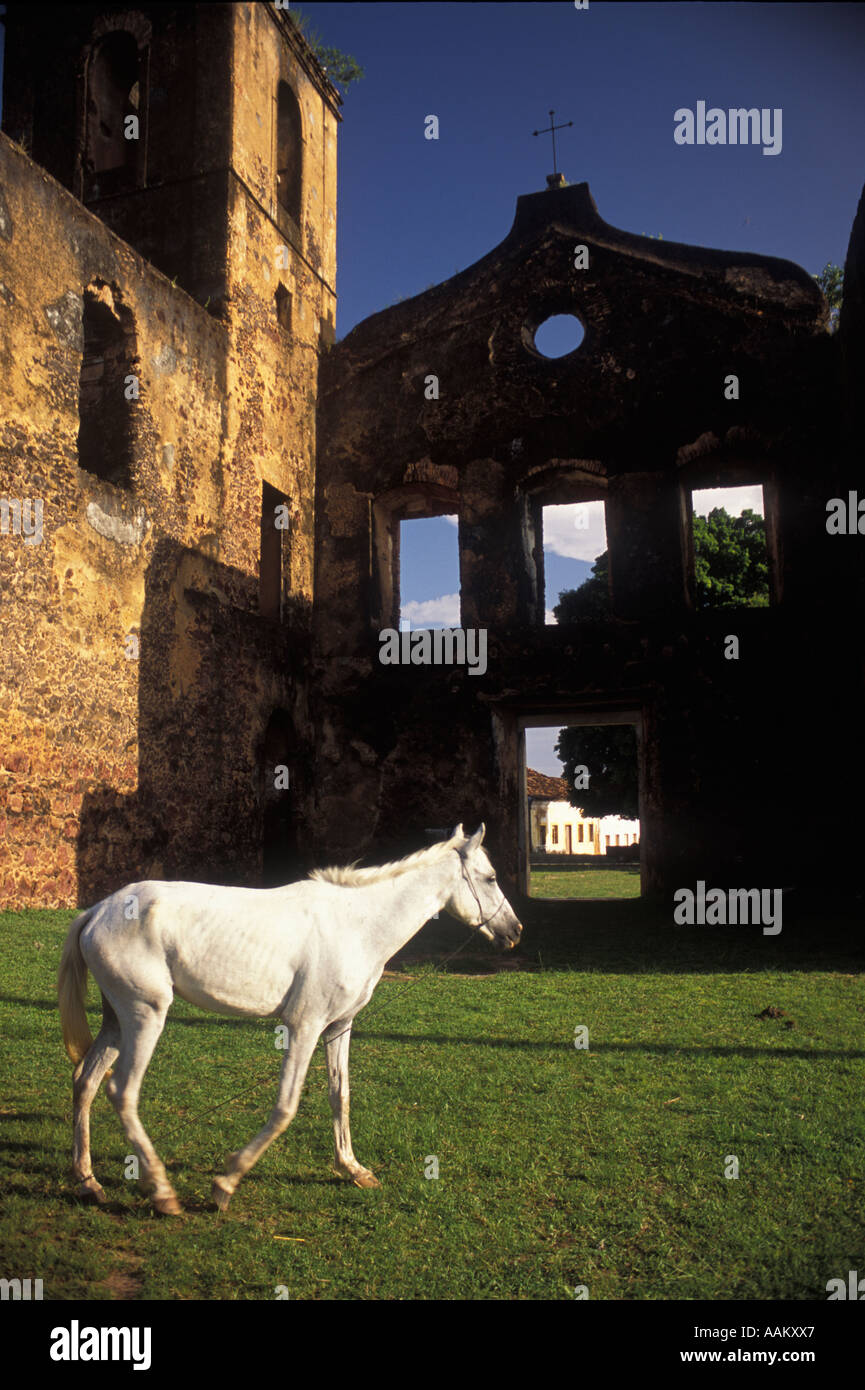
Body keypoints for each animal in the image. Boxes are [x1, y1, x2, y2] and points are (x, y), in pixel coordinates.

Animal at [57, 823, 522, 1215]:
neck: (356, 925)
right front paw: (225, 1184)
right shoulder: (304, 1025)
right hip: (145, 1016)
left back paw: (88, 1182)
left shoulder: (338, 1027)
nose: (515, 931)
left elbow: (340, 1095)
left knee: (86, 1081)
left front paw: (353, 1169)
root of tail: (96, 912)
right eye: (491, 877)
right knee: (122, 1091)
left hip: (116, 1021)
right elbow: (286, 1106)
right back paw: (162, 1192)